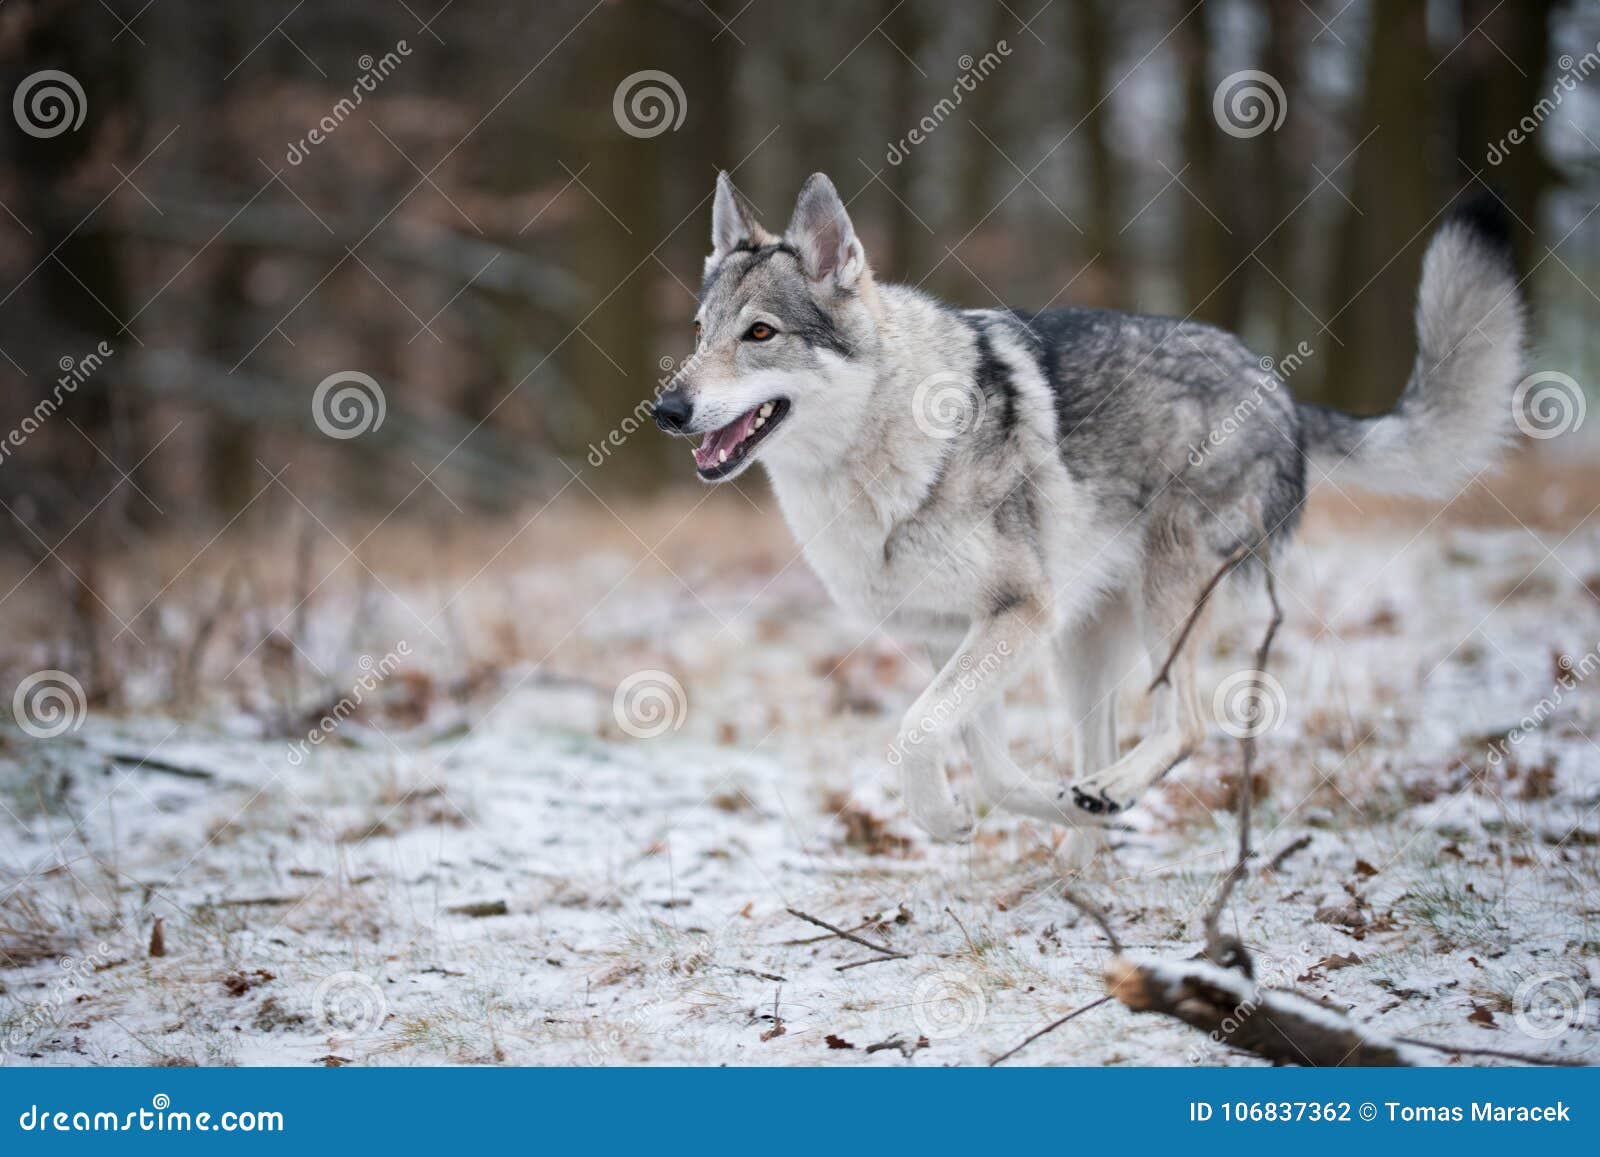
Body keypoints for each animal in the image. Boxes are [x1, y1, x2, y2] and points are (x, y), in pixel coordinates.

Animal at [654, 172, 1524, 841]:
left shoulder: (1018, 613)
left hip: (1162, 603)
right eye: (698, 332)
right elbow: (983, 763)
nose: (665, 408)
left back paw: (1110, 798)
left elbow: (915, 729)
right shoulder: (951, 634)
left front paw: (940, 812)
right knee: (1102, 744)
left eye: (759, 333)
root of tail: (1276, 384)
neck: (882, 451)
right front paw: (976, 816)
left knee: (1187, 724)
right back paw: (1087, 846)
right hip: (1082, 646)